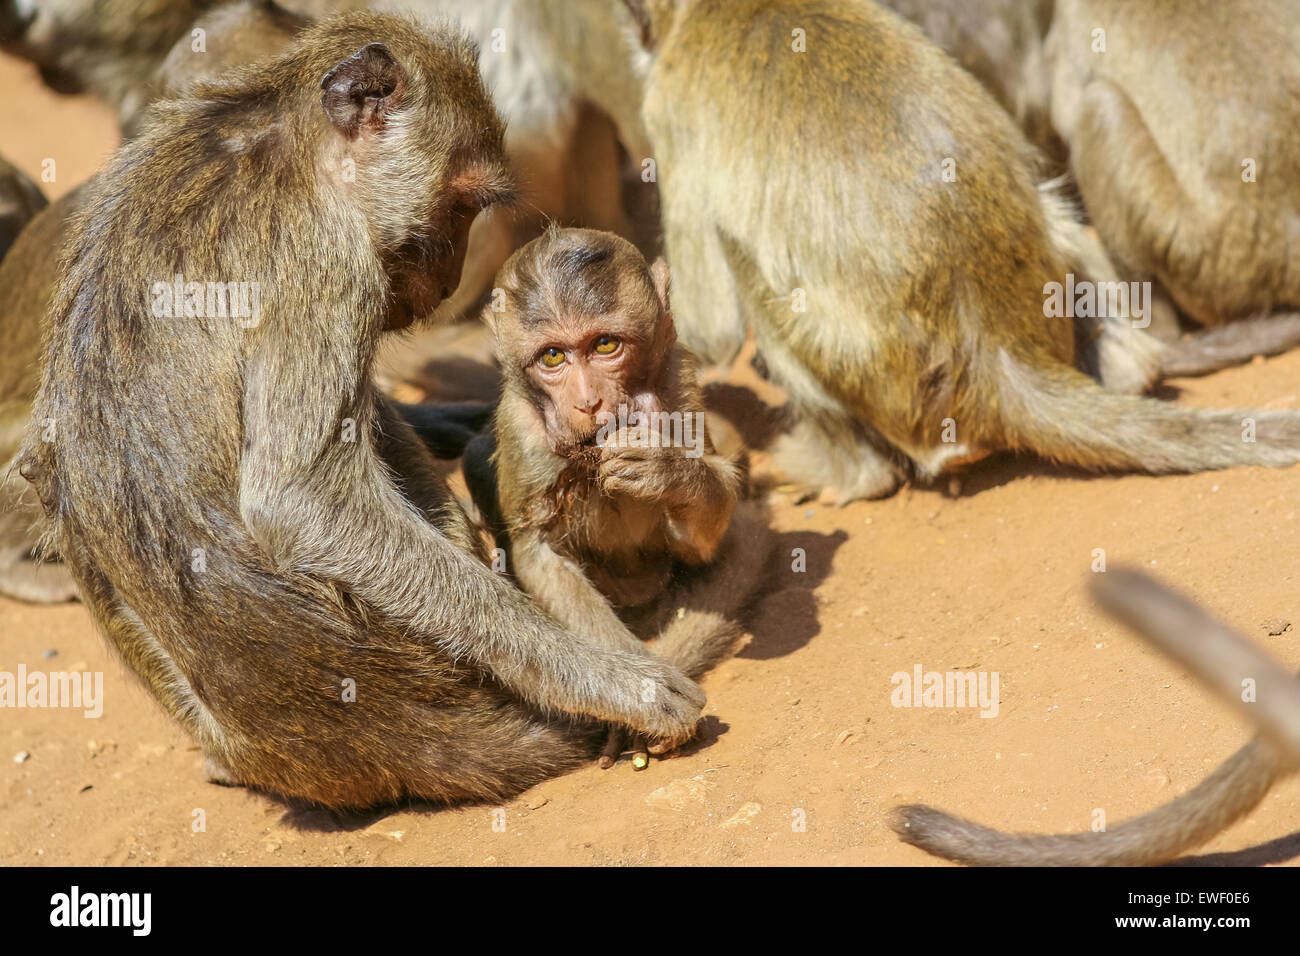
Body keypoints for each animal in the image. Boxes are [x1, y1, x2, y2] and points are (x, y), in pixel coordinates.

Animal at [18, 12, 705, 809]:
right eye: (460, 203)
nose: (452, 279)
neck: (284, 135)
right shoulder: (327, 261)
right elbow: (301, 503)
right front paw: (611, 682)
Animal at [461, 227, 771, 768]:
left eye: (605, 344)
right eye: (553, 357)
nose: (588, 402)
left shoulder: (678, 379)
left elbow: (701, 541)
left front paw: (666, 469)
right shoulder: (523, 427)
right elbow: (541, 554)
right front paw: (642, 694)